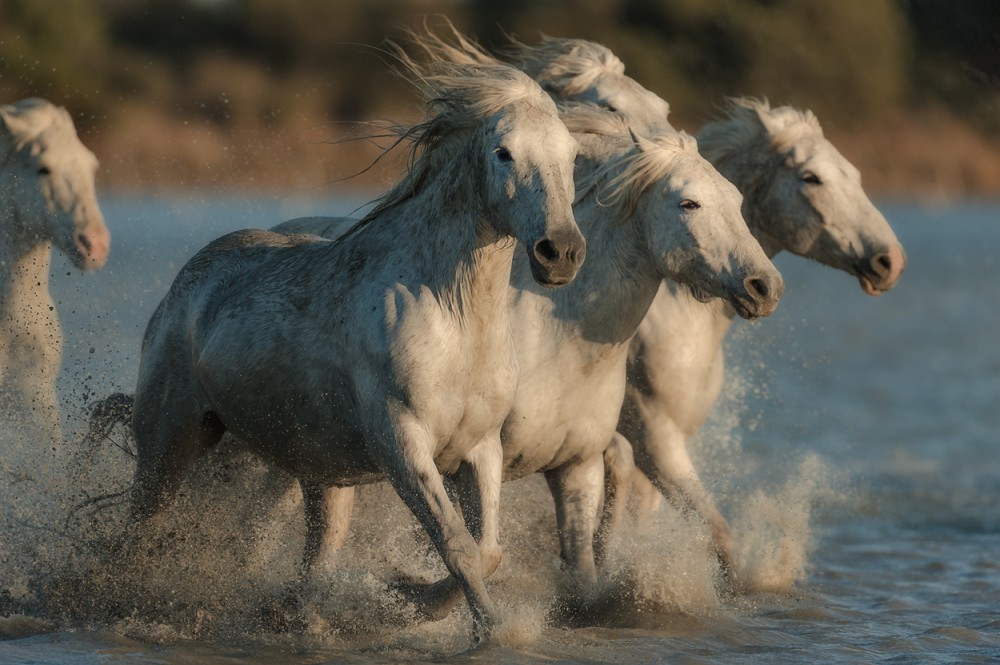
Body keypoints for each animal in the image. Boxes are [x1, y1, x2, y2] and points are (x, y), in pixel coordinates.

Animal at [125, 61, 584, 643]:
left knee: (303, 558)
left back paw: (294, 617)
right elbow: (457, 545)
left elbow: (489, 552)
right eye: (503, 152)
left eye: (573, 154)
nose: (560, 252)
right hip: (170, 444)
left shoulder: (480, 449)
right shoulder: (402, 444)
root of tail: (186, 282)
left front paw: (406, 597)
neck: (453, 315)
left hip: (323, 479)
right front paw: (483, 629)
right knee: (139, 533)